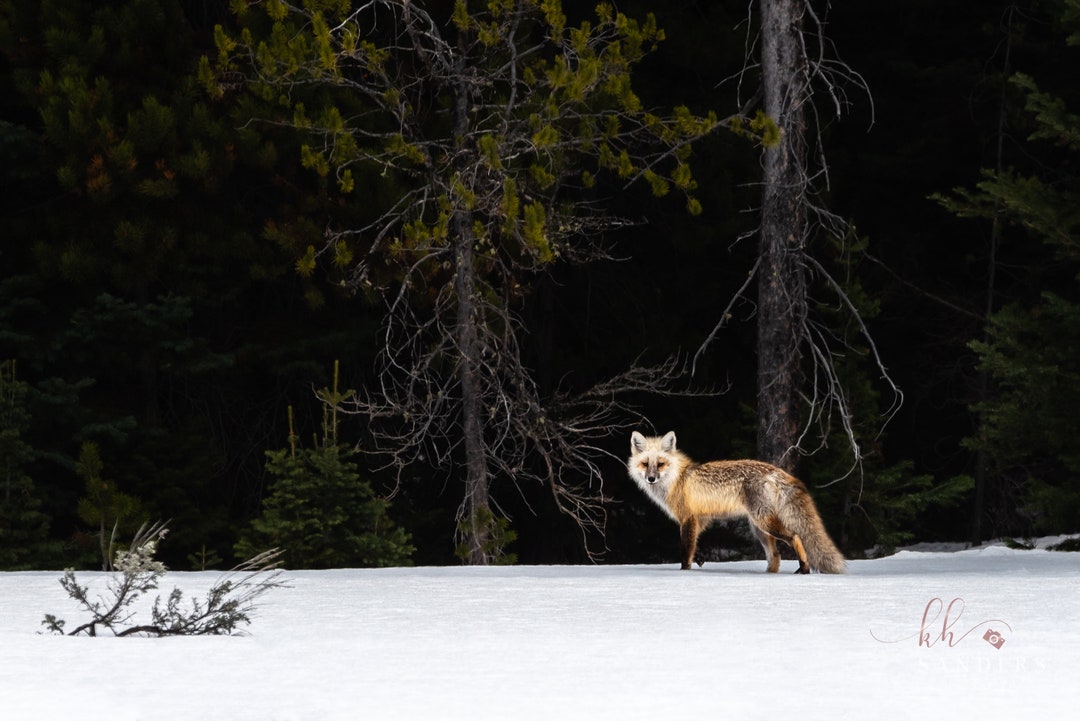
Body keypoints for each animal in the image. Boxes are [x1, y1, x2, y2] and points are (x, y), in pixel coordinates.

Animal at [627, 431, 846, 574]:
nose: (651, 479)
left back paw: (804, 568)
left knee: (795, 536)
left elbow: (685, 550)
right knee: (775, 557)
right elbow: (694, 544)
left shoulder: (688, 518)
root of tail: (776, 470)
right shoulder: (701, 518)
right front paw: (699, 558)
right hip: (759, 530)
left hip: (764, 523)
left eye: (660, 464)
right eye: (645, 464)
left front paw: (685, 572)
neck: (677, 479)